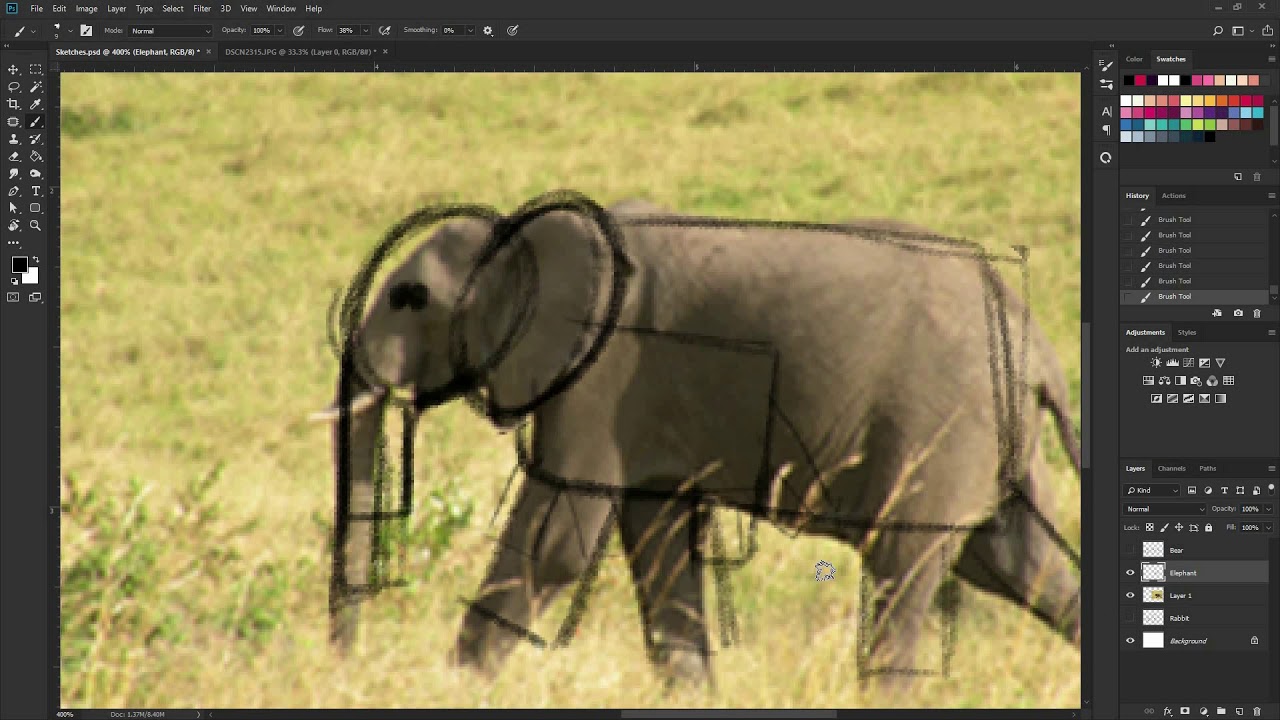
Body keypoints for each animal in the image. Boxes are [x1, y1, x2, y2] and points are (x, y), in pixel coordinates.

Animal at [311, 191, 1081, 696]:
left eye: (410, 298)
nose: (348, 669)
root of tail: (1039, 348)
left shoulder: (601, 374)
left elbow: (556, 543)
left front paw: (448, 690)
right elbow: (659, 545)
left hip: (943, 427)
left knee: (903, 569)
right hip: (994, 440)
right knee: (1025, 564)